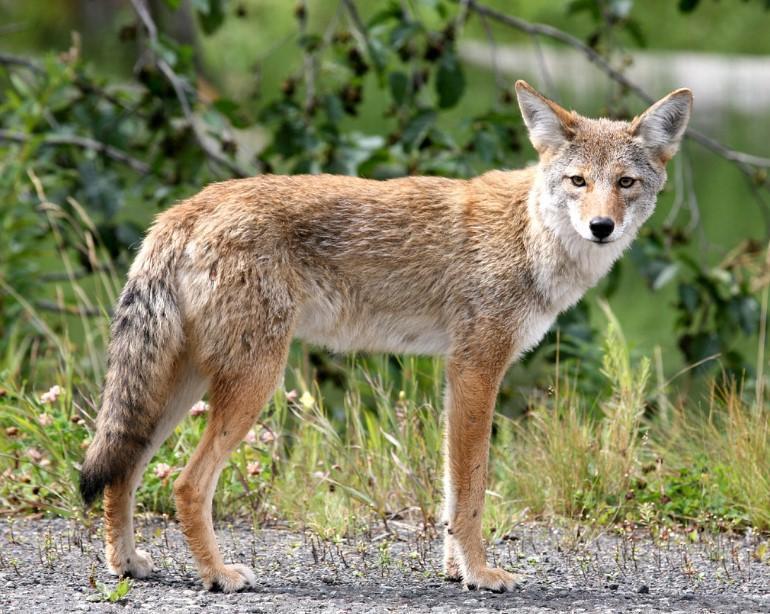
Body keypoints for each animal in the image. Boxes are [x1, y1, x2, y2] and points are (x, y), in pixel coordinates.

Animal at [80, 80, 692, 593]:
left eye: (626, 183)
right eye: (578, 181)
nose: (601, 227)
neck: (528, 236)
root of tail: (184, 208)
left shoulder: (457, 377)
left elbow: (451, 491)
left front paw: (456, 571)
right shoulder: (477, 370)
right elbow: (471, 491)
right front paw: (482, 575)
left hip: (181, 388)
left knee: (123, 469)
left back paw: (125, 565)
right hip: (251, 385)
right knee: (185, 484)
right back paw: (219, 575)